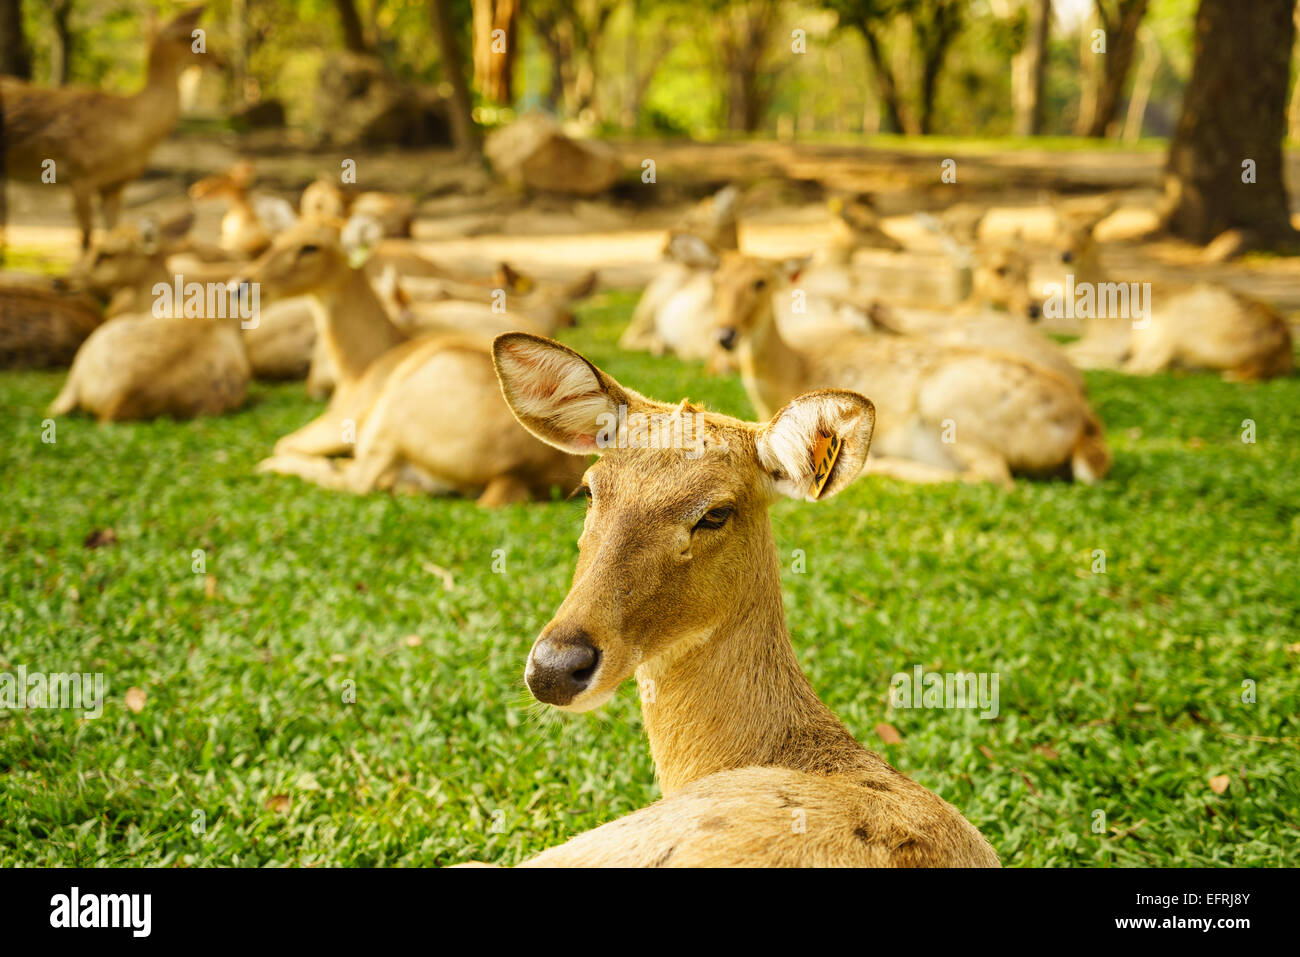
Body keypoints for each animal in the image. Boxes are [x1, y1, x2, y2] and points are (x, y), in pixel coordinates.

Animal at [1, 5, 215, 250]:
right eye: (188, 37)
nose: (220, 60)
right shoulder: (80, 175)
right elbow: (87, 239)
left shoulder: (115, 185)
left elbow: (112, 234)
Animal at [233, 223, 586, 504]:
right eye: (278, 239)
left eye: (309, 246)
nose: (242, 284)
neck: (364, 361)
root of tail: (519, 471)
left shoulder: (338, 422)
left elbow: (283, 443)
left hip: (388, 423)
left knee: (356, 479)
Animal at [709, 253, 1111, 486]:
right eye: (716, 281)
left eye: (760, 282)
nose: (725, 335)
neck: (794, 372)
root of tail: (1085, 428)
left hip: (948, 398)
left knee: (993, 476)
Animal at [1052, 202, 1293, 380]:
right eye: (1058, 226)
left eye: (1090, 228)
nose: (1066, 255)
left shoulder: (1112, 340)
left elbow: (1067, 349)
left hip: (1175, 328)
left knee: (1144, 367)